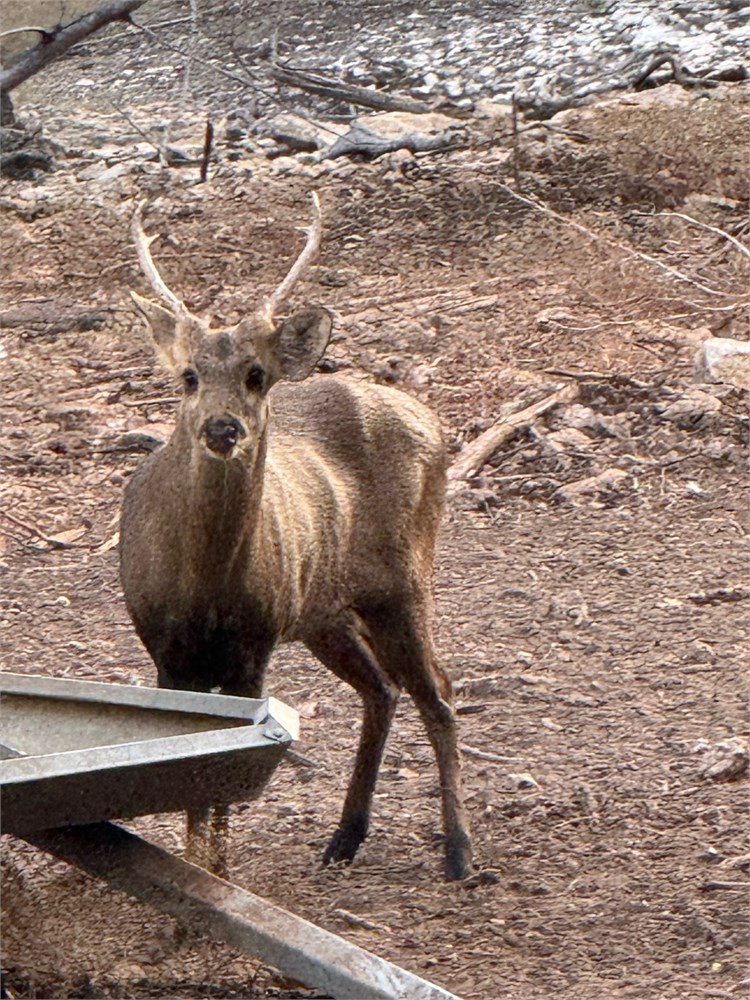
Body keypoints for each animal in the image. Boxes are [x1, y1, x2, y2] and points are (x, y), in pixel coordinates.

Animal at [119, 194, 473, 881]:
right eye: (189, 376)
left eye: (257, 374)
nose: (223, 429)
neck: (205, 589)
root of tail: (434, 419)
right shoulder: (164, 649)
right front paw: (198, 868)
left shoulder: (255, 643)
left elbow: (222, 768)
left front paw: (215, 870)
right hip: (323, 612)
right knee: (384, 691)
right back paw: (344, 839)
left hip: (404, 582)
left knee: (439, 694)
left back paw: (460, 852)